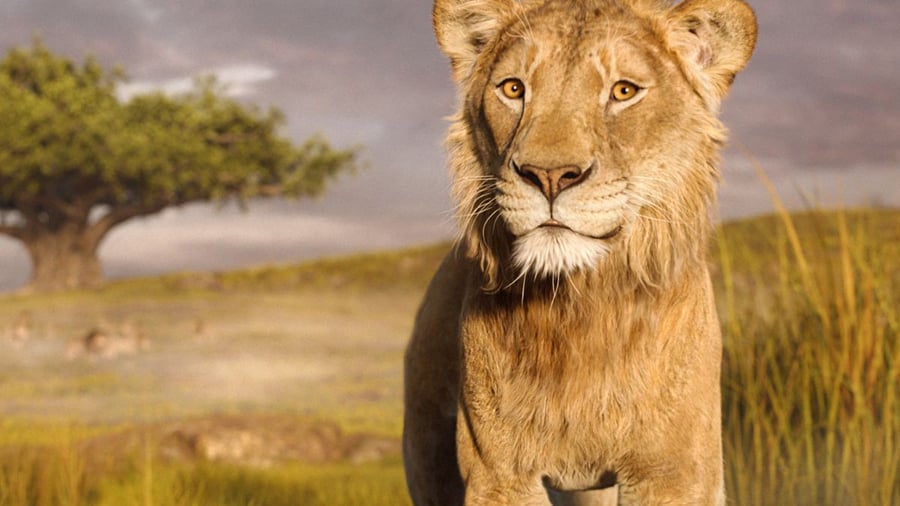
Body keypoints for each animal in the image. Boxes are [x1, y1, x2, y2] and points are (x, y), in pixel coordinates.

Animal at [403, 0, 757, 504]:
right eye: (513, 89)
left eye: (623, 91)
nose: (549, 176)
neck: (578, 311)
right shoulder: (498, 474)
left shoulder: (676, 472)